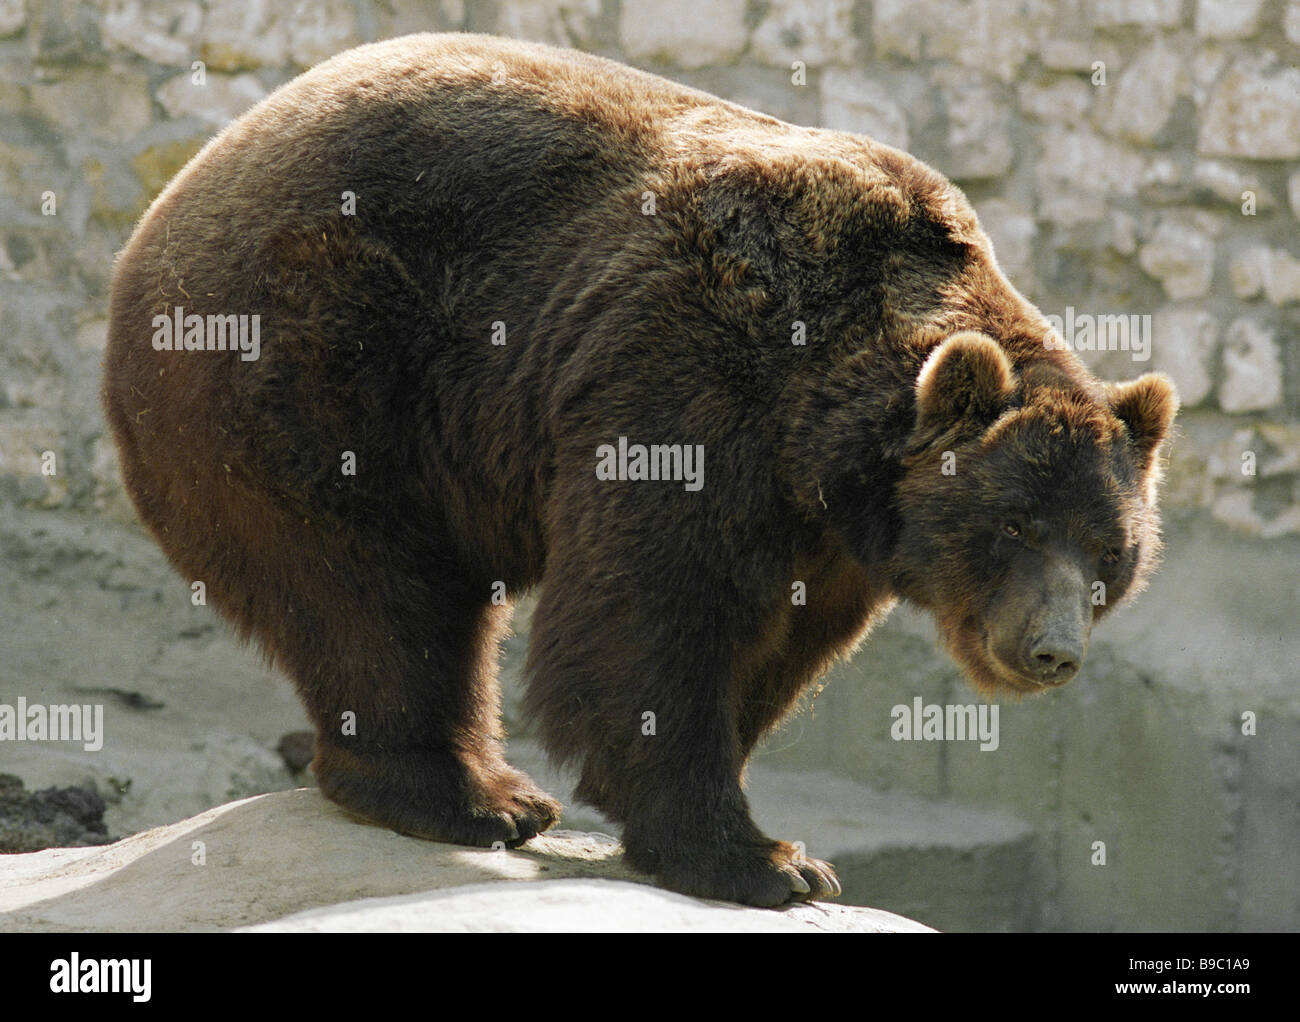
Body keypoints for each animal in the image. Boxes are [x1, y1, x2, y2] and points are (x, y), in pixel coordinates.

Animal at [102, 33, 1177, 907]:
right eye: (1013, 525)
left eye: (1108, 554)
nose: (1052, 648)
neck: (823, 438)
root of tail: (172, 200)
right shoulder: (689, 382)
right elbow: (652, 613)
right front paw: (764, 859)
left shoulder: (827, 540)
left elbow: (773, 647)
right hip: (312, 358)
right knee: (373, 587)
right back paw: (470, 795)